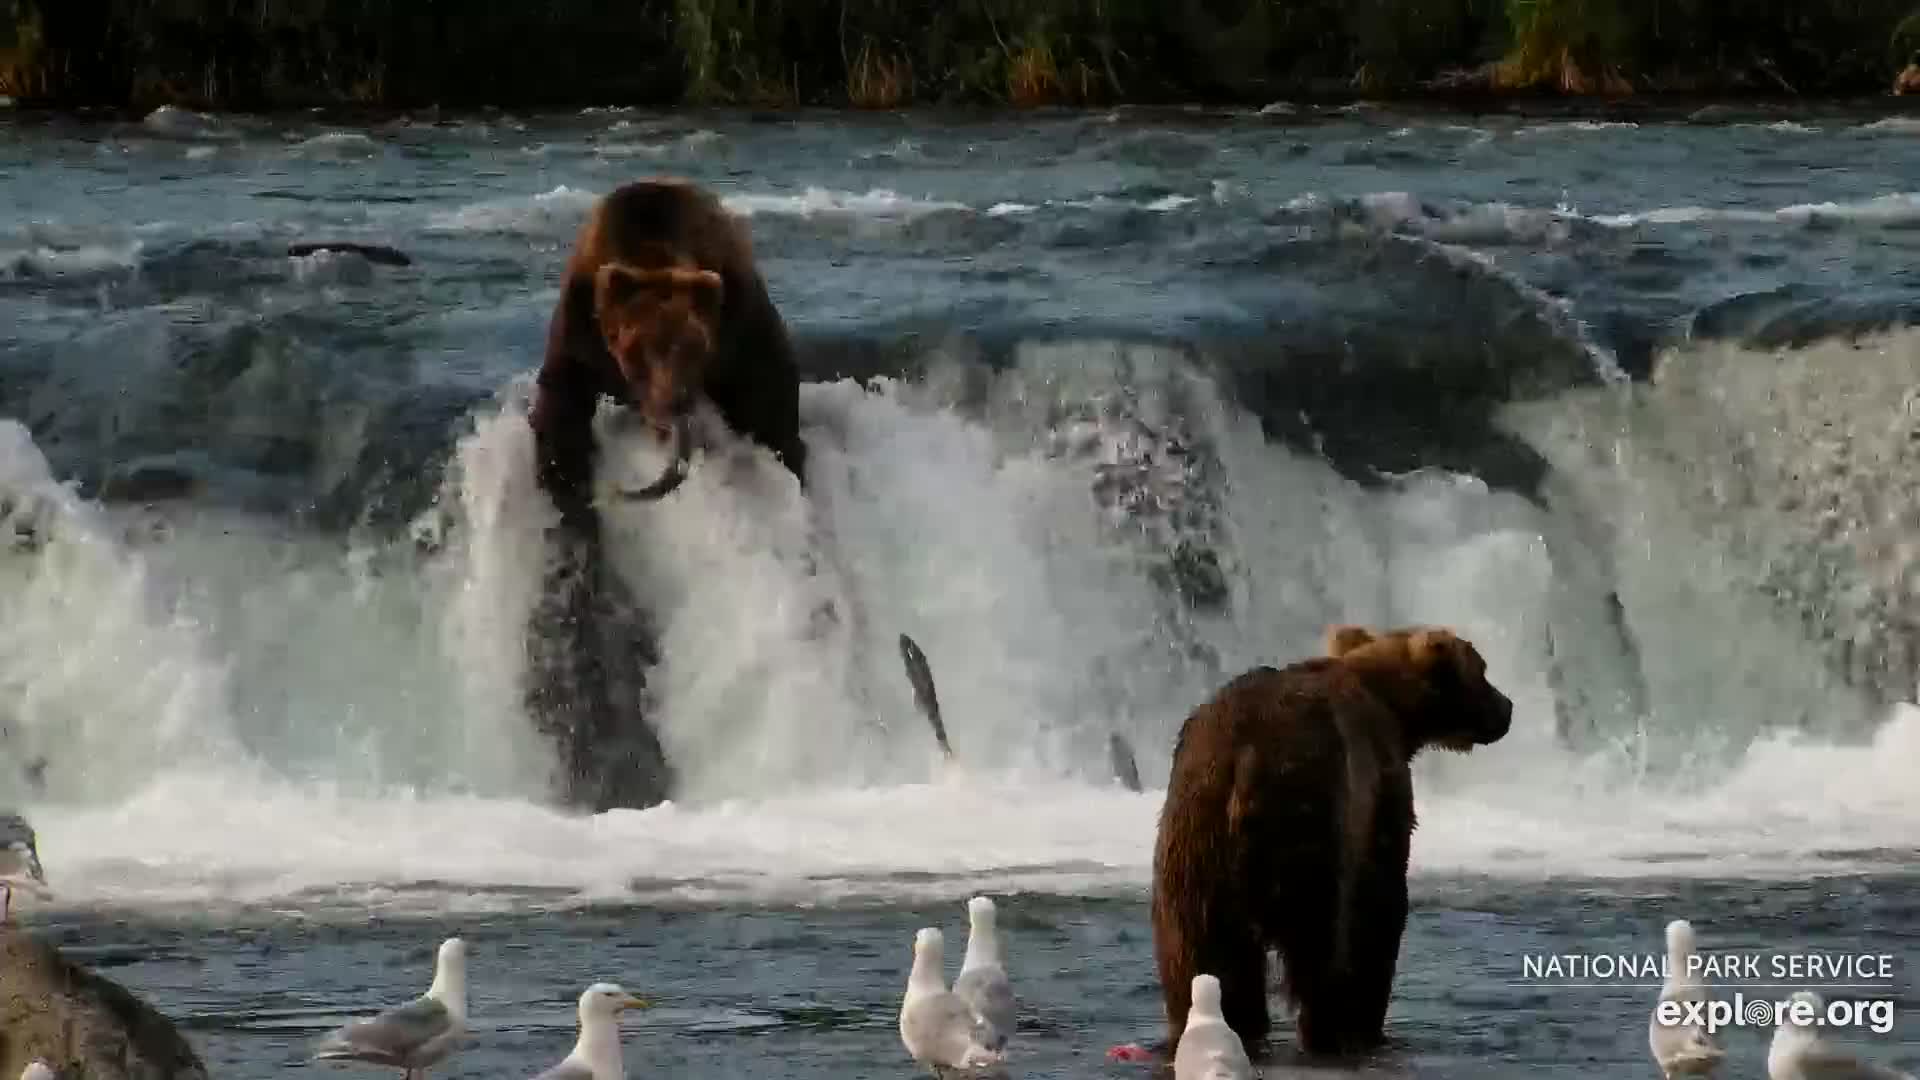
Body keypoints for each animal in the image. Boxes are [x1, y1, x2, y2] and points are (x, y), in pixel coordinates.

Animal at [522, 176, 808, 813]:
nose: (673, 405)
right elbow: (559, 426)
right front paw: (567, 495)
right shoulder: (578, 333)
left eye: (693, 346)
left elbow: (773, 410)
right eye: (636, 347)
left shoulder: (741, 331)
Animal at [1150, 623, 1513, 1057]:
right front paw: (1367, 1020)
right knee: (1320, 940)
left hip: (1193, 836)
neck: (1392, 706)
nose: (1508, 707)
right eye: (1482, 670)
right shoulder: (1378, 788)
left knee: (1202, 956)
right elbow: (1380, 904)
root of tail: (1244, 760)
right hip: (1308, 821)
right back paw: (1331, 1030)